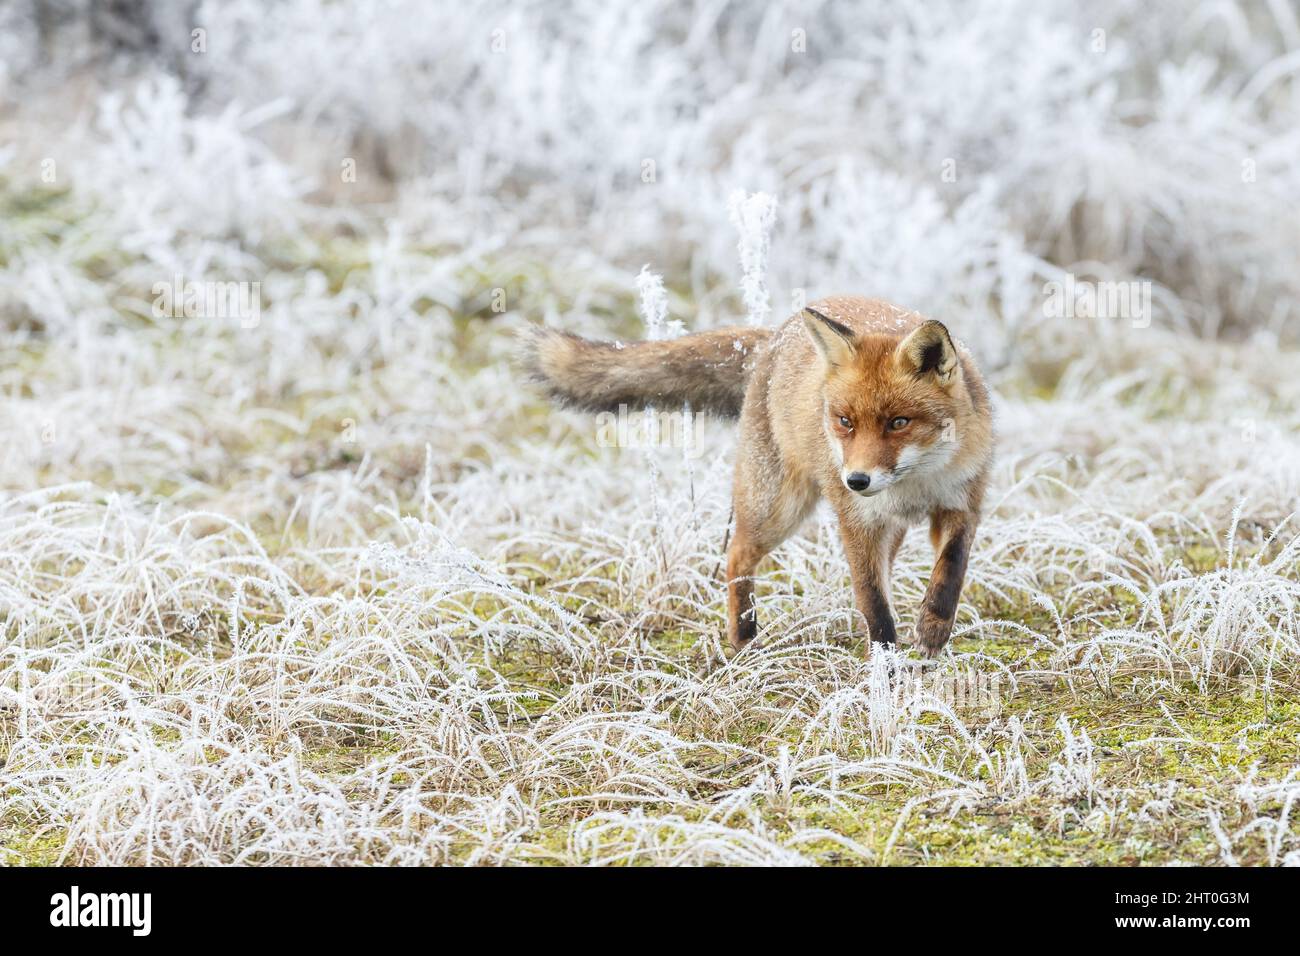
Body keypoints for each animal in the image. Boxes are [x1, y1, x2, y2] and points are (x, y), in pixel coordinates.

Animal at [520, 295, 993, 657]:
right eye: (845, 422)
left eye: (898, 423)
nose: (856, 481)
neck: (915, 483)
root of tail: (773, 337)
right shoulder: (857, 521)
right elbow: (873, 602)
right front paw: (885, 666)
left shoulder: (961, 504)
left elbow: (950, 570)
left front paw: (932, 630)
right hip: (776, 509)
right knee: (736, 556)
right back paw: (744, 637)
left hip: (869, 526)